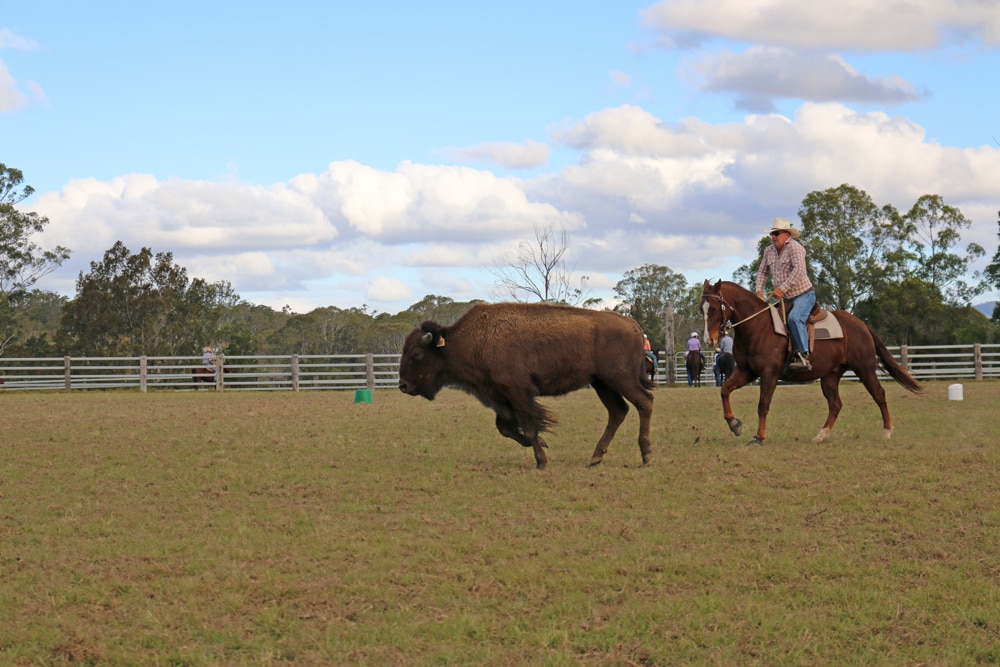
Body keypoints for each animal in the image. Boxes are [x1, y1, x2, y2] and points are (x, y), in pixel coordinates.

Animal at [398, 302, 654, 469]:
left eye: (417, 353)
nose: (403, 386)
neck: (476, 339)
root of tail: (633, 325)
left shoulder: (518, 393)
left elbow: (529, 427)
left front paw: (541, 461)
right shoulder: (500, 396)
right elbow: (505, 427)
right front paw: (543, 444)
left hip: (620, 379)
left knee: (644, 402)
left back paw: (646, 456)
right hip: (602, 383)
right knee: (618, 411)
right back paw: (595, 458)